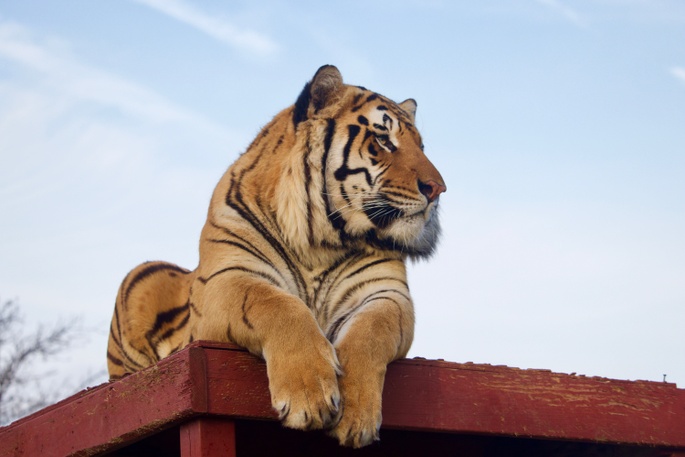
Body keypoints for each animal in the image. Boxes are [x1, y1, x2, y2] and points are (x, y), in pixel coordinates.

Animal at [107, 65, 446, 448]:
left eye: (421, 146)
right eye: (384, 140)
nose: (438, 188)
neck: (320, 241)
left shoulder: (387, 293)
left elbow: (370, 333)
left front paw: (356, 415)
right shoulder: (228, 279)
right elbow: (278, 306)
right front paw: (308, 396)